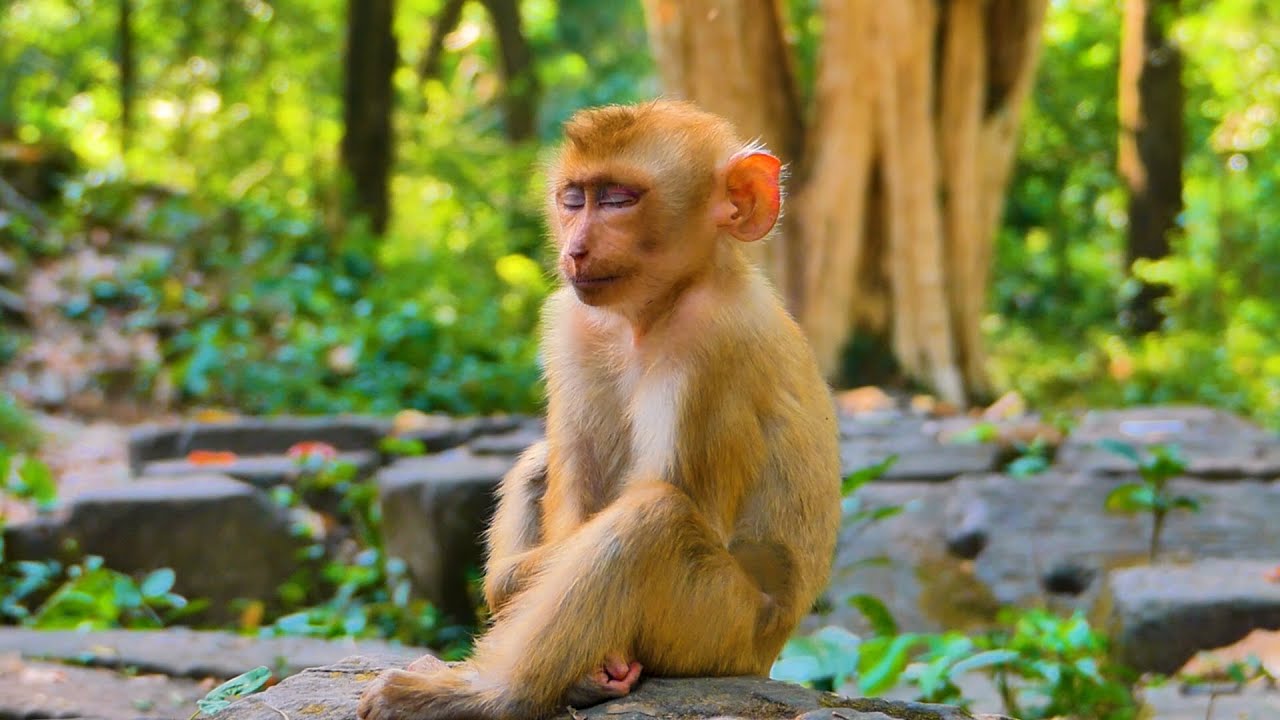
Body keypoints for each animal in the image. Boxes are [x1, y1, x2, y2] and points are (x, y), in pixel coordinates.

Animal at [357, 99, 841, 720]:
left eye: (617, 199)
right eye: (573, 199)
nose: (576, 248)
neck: (659, 307)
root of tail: (769, 650)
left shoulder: (713, 342)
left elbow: (676, 501)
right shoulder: (574, 322)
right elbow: (575, 473)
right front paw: (517, 594)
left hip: (718, 631)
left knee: (653, 520)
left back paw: (486, 695)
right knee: (546, 464)